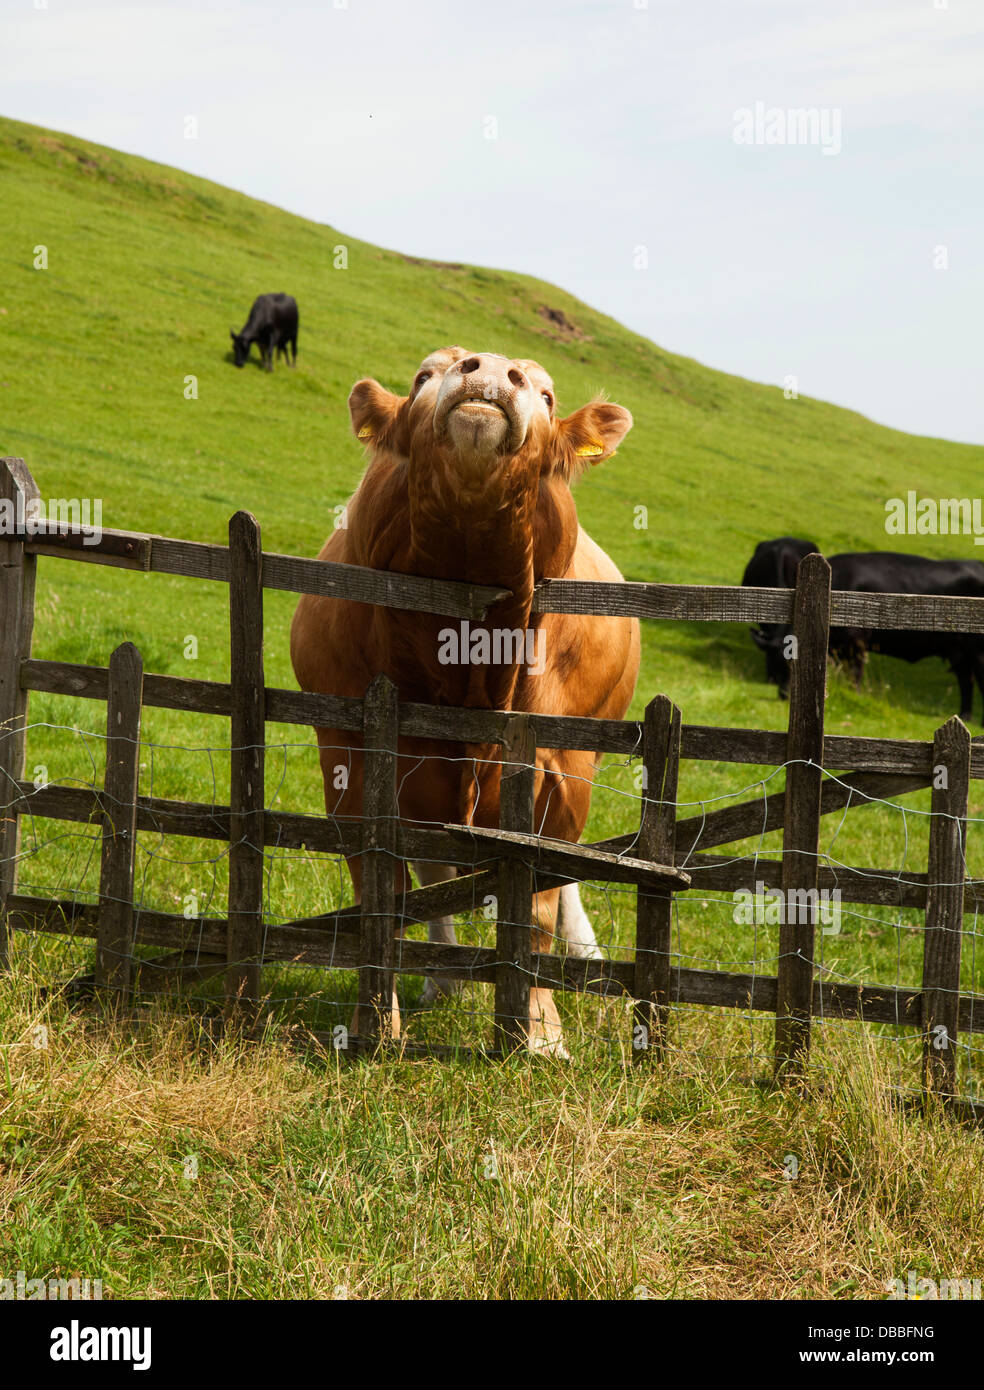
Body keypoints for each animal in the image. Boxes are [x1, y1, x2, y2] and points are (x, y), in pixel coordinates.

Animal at [290, 346, 641, 1054]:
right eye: (425, 375)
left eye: (548, 395)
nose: (492, 371)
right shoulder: (351, 760)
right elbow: (383, 894)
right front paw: (378, 1021)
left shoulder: (561, 772)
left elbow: (540, 903)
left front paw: (541, 1034)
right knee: (432, 874)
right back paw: (444, 978)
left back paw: (586, 963)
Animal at [826, 552, 984, 723]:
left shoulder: (855, 644)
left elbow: (854, 678)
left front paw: (856, 695)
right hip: (959, 652)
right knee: (966, 681)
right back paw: (965, 716)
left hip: (978, 652)